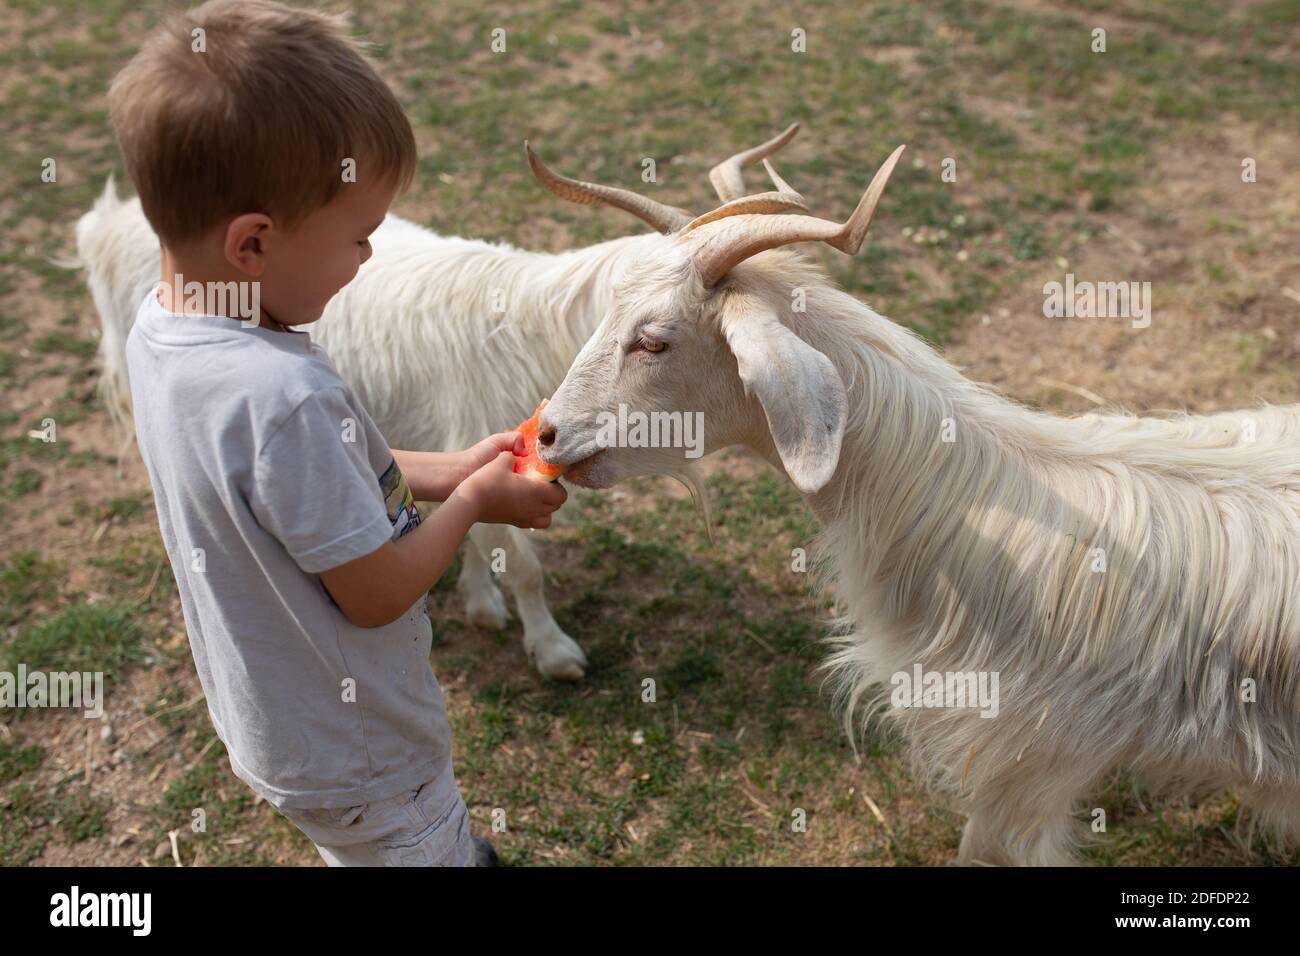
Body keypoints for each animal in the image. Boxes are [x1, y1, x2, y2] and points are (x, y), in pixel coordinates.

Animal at [74, 126, 805, 681]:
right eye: (664, 337)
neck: (541, 332)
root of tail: (113, 222)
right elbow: (526, 566)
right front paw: (552, 650)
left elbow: (472, 526)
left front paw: (479, 599)